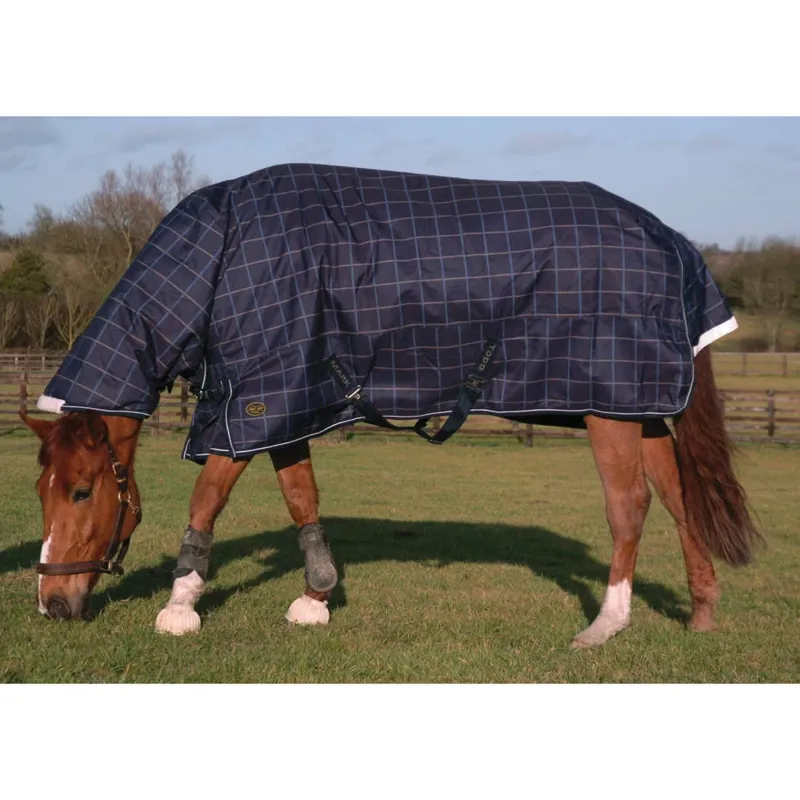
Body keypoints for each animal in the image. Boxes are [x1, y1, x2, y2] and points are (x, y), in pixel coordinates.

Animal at [22, 162, 762, 647]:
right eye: (41, 492)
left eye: (83, 491)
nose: (51, 604)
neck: (223, 260)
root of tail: (673, 243)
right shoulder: (289, 400)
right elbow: (302, 498)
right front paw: (316, 596)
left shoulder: (249, 405)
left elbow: (207, 500)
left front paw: (180, 608)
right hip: (641, 404)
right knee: (679, 495)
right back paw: (701, 614)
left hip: (610, 406)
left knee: (629, 505)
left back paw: (606, 624)